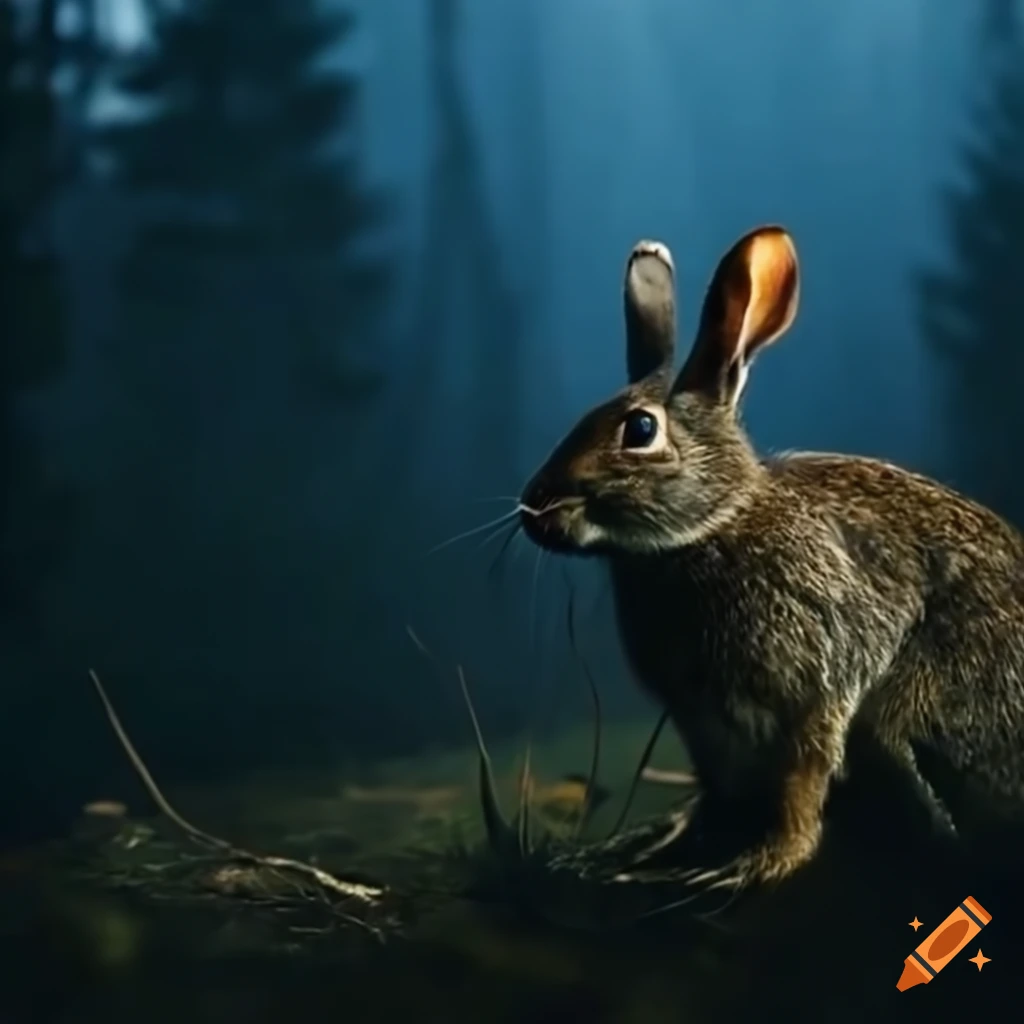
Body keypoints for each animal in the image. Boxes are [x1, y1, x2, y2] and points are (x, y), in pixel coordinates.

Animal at [518, 226, 1024, 890]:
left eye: (641, 431)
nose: (532, 507)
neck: (712, 525)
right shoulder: (703, 727)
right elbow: (714, 798)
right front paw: (642, 852)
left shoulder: (815, 692)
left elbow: (802, 785)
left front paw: (753, 866)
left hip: (913, 705)